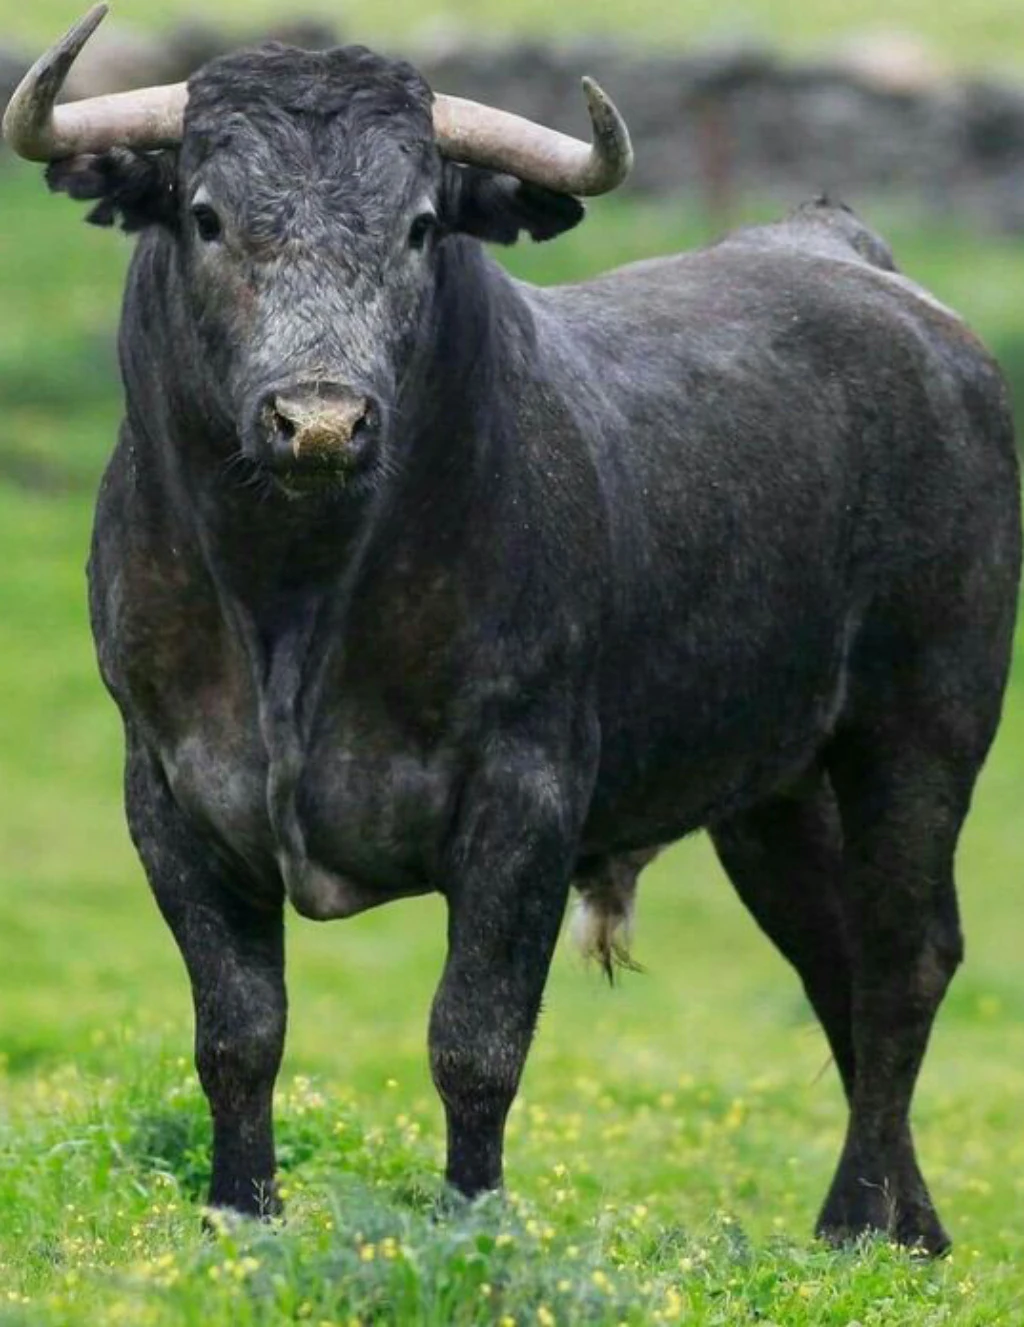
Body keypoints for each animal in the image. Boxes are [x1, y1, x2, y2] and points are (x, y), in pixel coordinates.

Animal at [5, 4, 1019, 1256]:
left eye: (419, 223)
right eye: (205, 215)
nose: (320, 420)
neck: (292, 596)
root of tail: (853, 263)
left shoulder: (524, 792)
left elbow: (475, 1037)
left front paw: (469, 1222)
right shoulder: (170, 792)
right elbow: (239, 1030)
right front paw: (240, 1211)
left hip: (923, 725)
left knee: (903, 954)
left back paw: (858, 1220)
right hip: (774, 793)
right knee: (835, 960)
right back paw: (906, 1223)